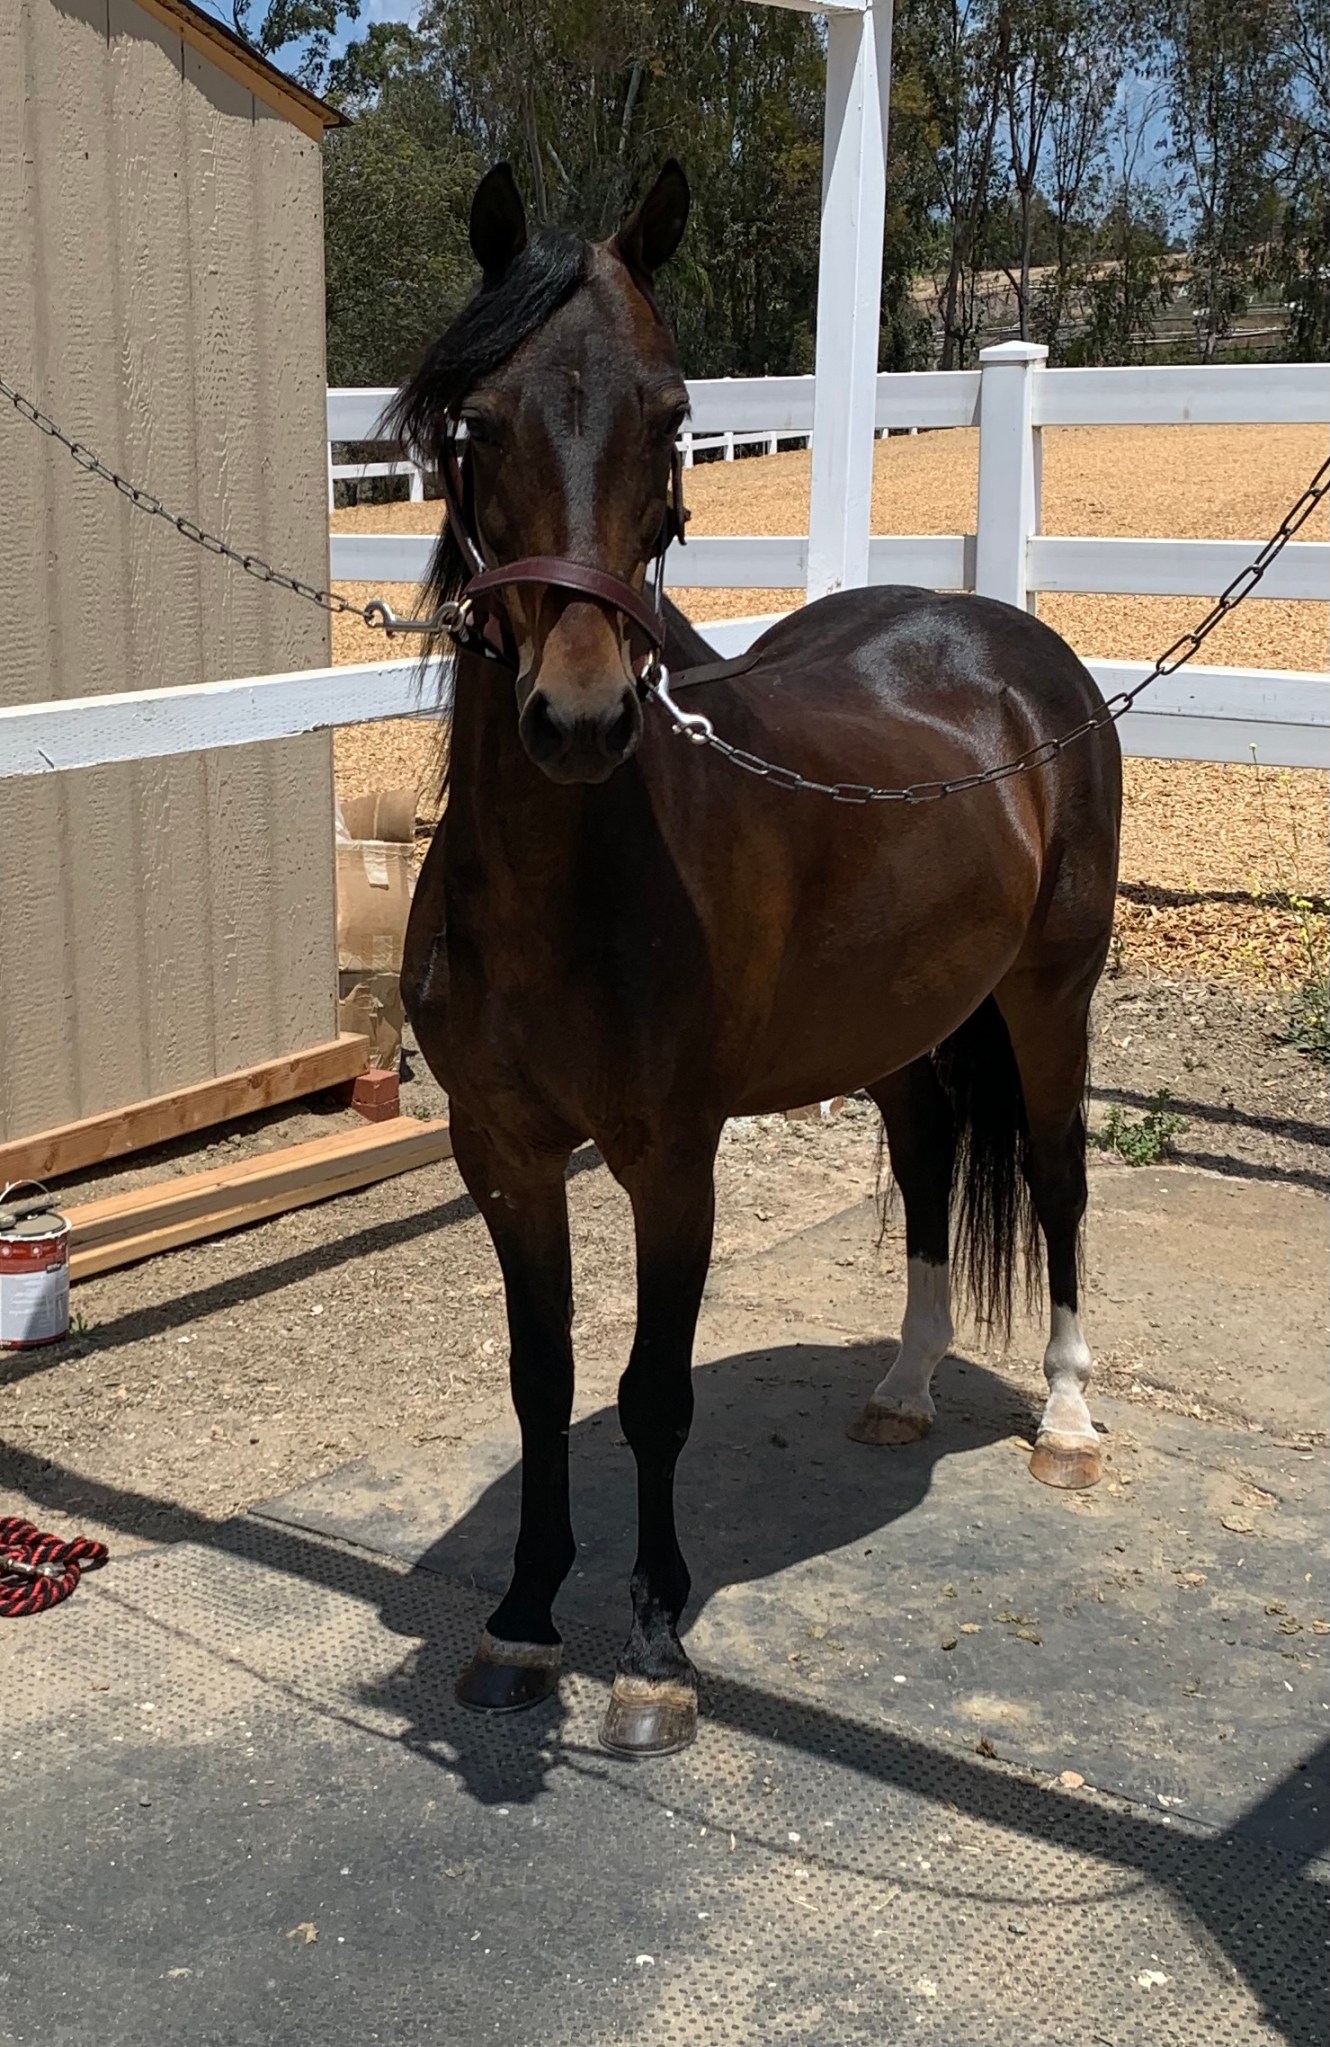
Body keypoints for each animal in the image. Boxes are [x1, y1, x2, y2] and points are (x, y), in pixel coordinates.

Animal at [392, 159, 1122, 1757]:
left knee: (1054, 1180)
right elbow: (543, 1379)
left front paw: (655, 1647)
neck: (562, 889)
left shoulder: (673, 1154)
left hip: (1048, 999)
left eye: (674, 416)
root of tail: (1006, 645)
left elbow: (651, 1391)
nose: (580, 718)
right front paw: (522, 1618)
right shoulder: (504, 1149)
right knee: (928, 1168)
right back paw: (904, 1386)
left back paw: (1065, 1420)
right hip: (906, 1030)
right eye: (477, 424)